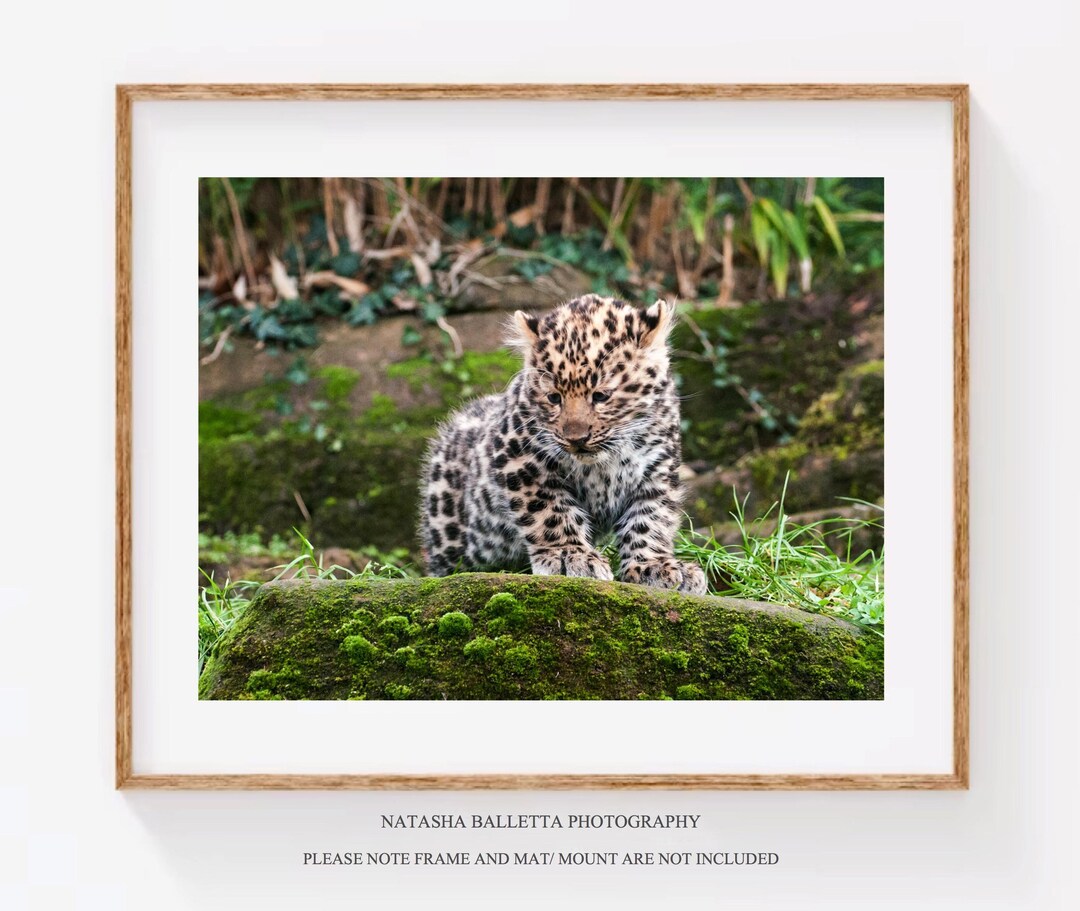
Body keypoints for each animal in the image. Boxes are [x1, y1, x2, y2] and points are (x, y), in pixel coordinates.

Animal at [418, 293, 707, 595]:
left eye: (601, 396)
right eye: (554, 397)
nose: (576, 439)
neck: (606, 462)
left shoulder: (657, 470)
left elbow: (650, 519)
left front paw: (654, 565)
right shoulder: (521, 460)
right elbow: (550, 512)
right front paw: (569, 556)